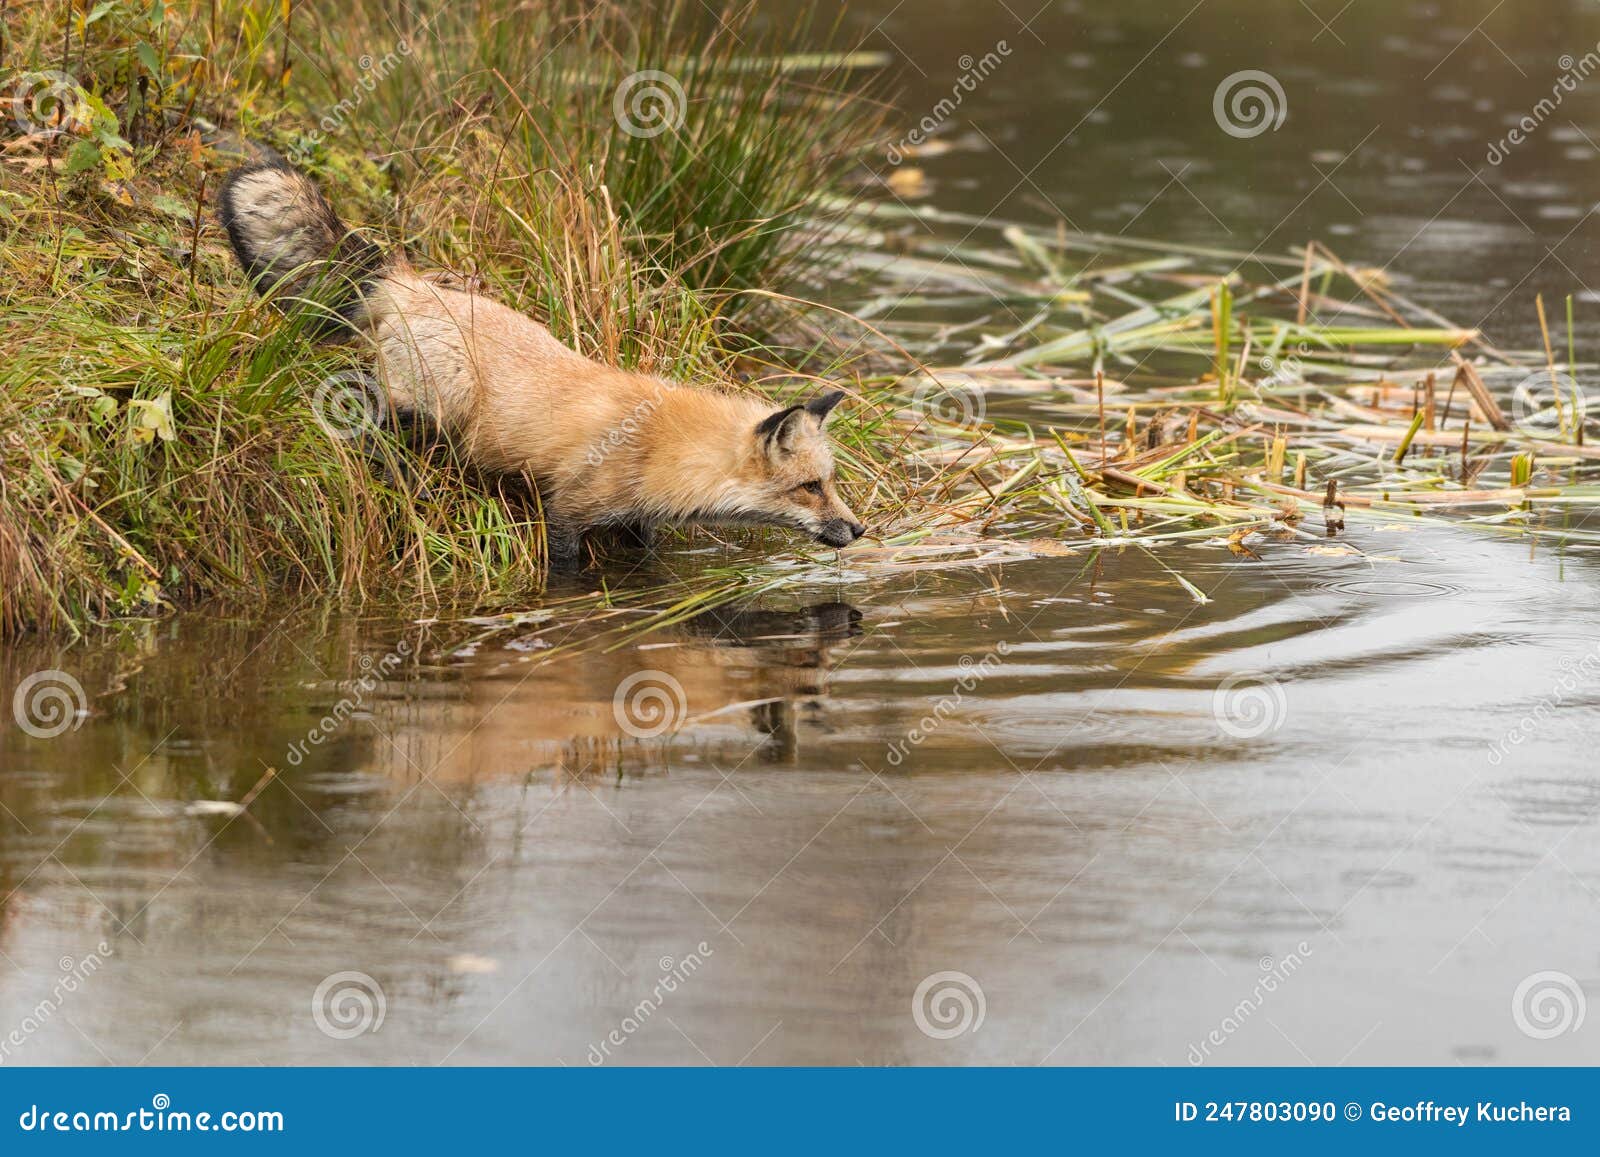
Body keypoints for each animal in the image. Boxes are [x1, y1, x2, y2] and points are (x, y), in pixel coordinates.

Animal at [216, 151, 866, 566]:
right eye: (810, 487)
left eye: (829, 482)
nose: (859, 529)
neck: (656, 443)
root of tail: (410, 282)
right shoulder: (569, 511)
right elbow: (567, 563)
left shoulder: (637, 524)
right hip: (435, 404)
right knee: (371, 416)